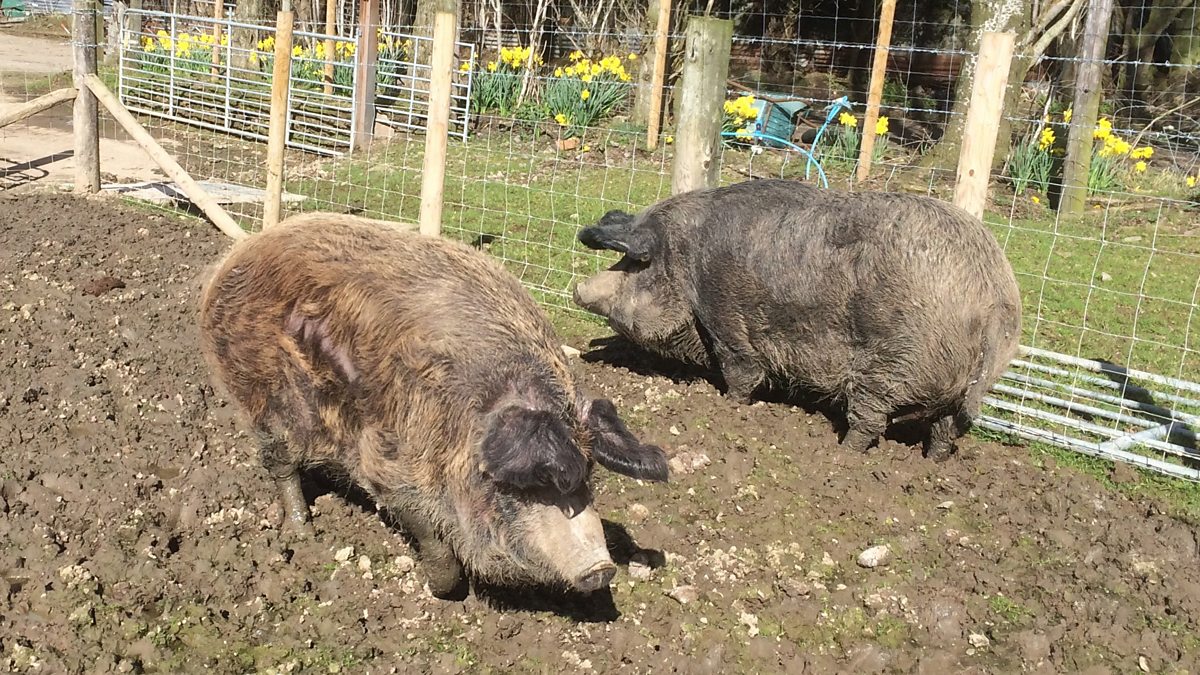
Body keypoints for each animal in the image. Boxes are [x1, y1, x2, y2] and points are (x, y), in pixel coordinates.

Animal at [198, 213, 668, 598]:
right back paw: (300, 532)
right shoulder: (387, 469)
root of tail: (235, 257)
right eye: (528, 485)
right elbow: (434, 542)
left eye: (587, 476)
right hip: (262, 400)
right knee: (280, 464)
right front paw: (440, 592)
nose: (602, 568)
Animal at [573, 179, 1022, 461]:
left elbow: (740, 373)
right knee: (946, 431)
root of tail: (993, 296)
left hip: (889, 366)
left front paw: (728, 406)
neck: (688, 264)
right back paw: (933, 463)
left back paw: (841, 454)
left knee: (870, 421)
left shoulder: (726, 321)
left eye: (638, 263)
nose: (577, 289)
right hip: (959, 389)